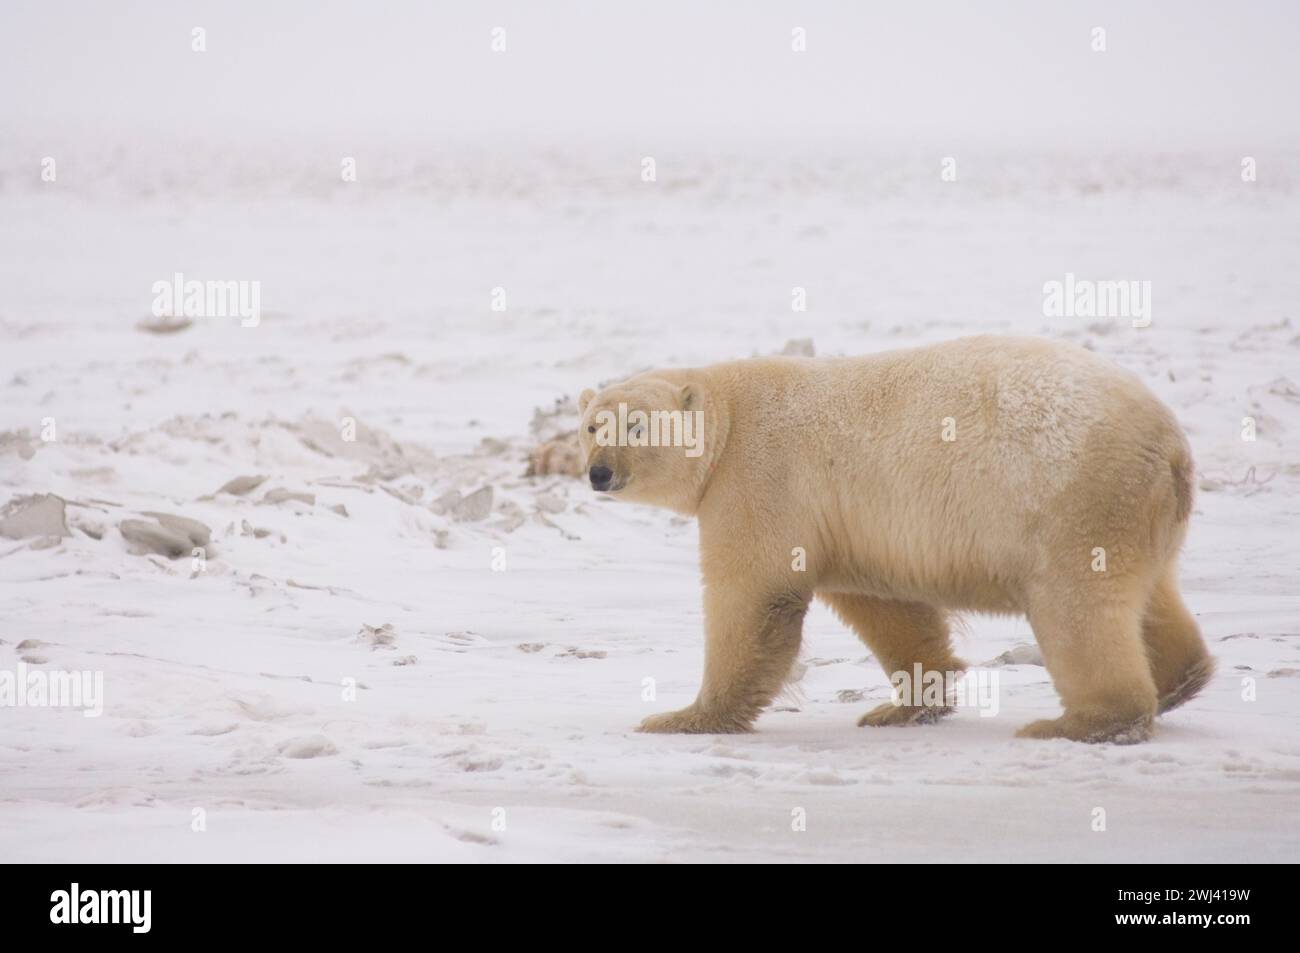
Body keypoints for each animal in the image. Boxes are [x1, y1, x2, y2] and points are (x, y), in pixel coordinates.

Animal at [577, 335, 1212, 744]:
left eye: (638, 425)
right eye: (591, 425)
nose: (599, 472)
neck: (729, 416)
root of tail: (1168, 445)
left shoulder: (760, 478)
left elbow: (754, 594)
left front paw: (682, 717)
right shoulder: (844, 521)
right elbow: (884, 605)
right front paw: (905, 705)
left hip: (1071, 502)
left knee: (1077, 607)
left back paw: (1081, 723)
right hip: (1137, 514)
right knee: (1153, 595)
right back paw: (1179, 680)